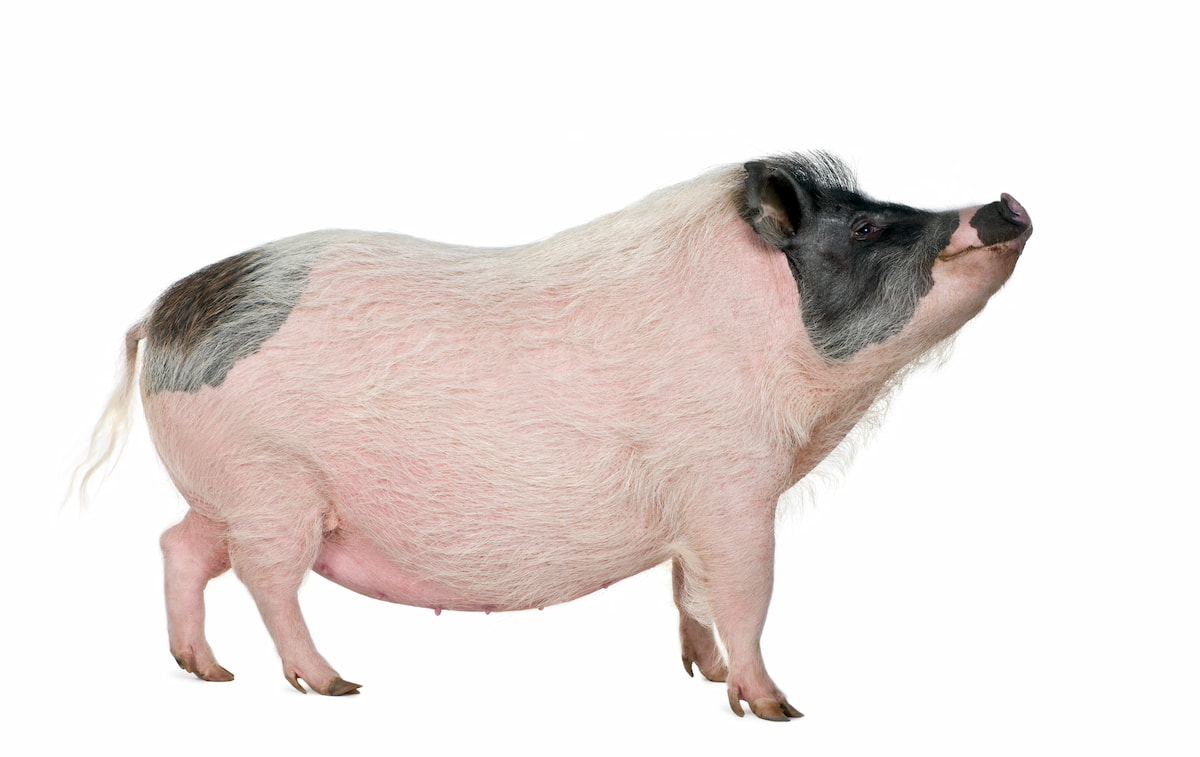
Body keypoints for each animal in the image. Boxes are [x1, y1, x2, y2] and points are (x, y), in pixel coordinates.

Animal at [77, 152, 1031, 720]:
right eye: (866, 227)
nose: (1005, 202)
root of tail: (163, 315)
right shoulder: (731, 484)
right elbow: (746, 590)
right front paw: (777, 708)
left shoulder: (697, 507)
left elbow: (689, 590)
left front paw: (701, 674)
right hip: (274, 486)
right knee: (266, 580)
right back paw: (336, 685)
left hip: (229, 491)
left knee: (179, 546)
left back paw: (206, 672)